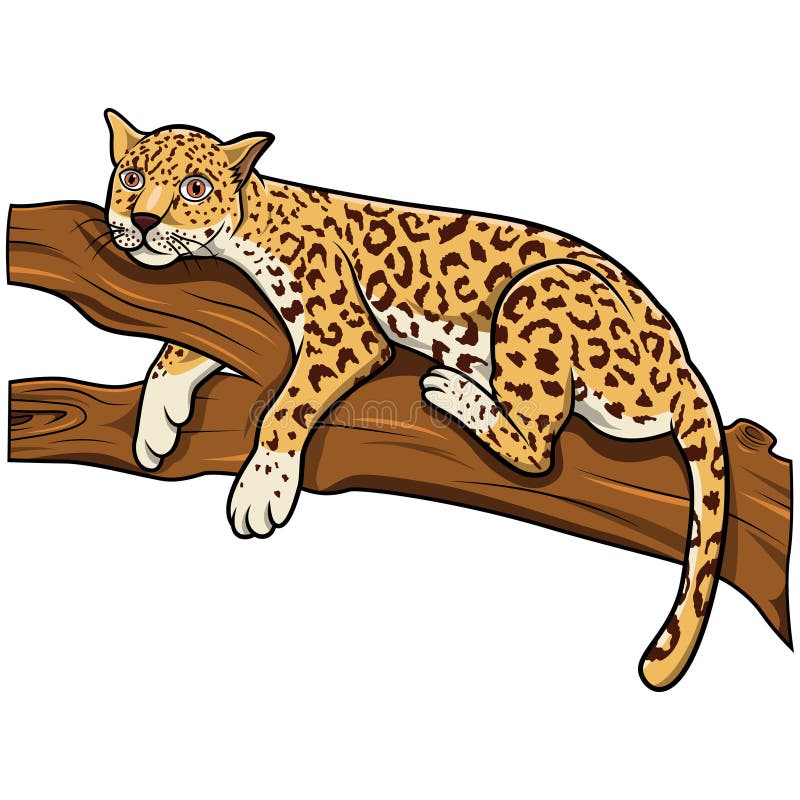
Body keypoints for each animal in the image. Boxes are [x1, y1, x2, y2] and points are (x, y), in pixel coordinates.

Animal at [105, 109, 727, 691]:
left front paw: (263, 486)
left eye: (194, 187)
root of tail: (682, 362)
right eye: (131, 177)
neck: (251, 227)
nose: (142, 220)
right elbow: (180, 349)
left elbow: (286, 406)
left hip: (537, 294)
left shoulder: (344, 331)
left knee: (538, 443)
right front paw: (155, 424)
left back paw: (455, 389)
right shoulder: (245, 313)